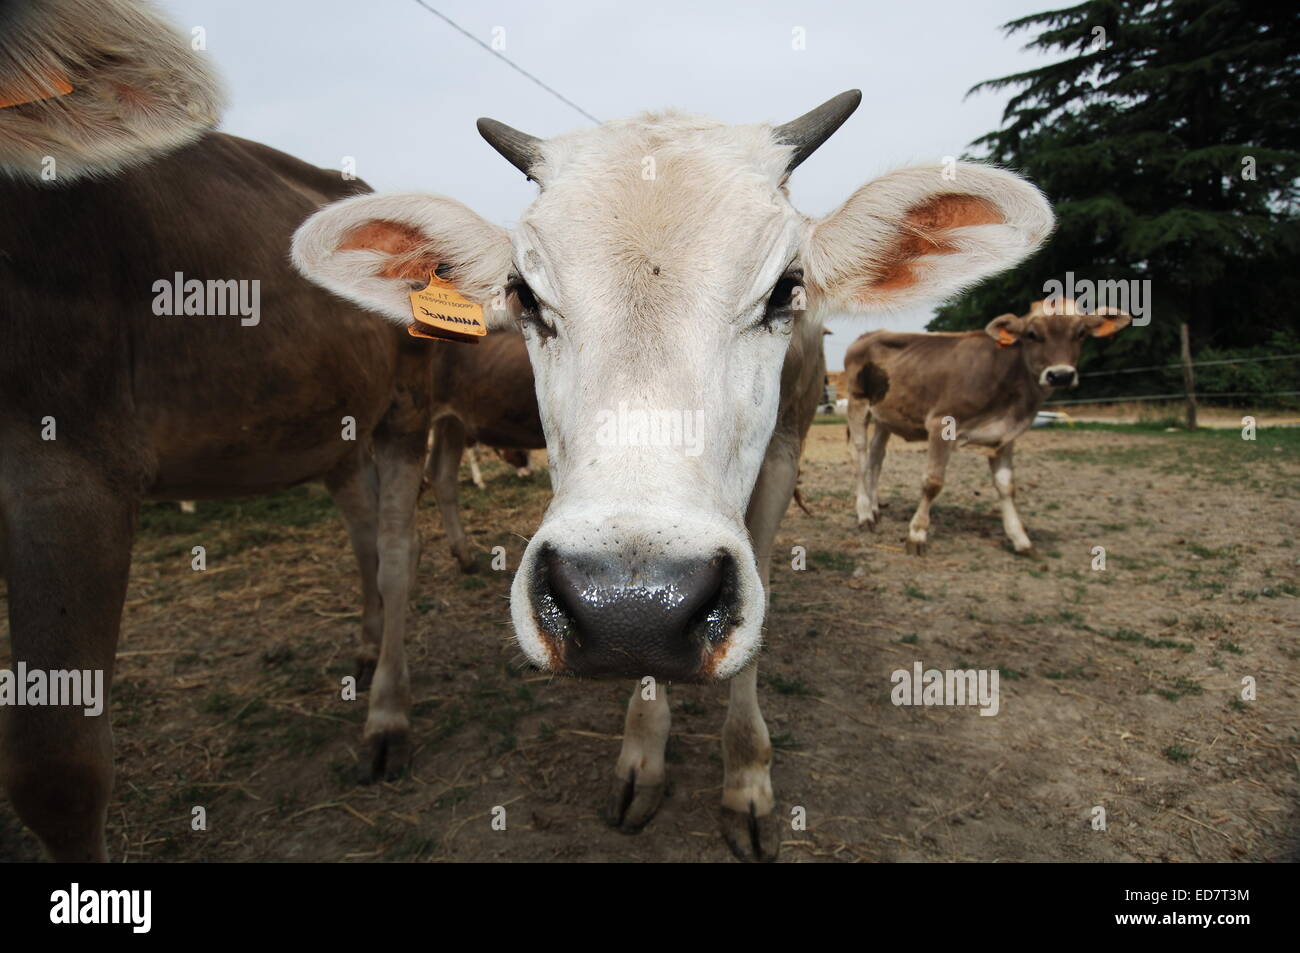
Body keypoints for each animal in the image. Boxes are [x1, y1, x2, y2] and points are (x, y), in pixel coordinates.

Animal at [0, 0, 431, 860]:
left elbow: (56, 769)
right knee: (364, 529)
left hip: (406, 404)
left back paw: (387, 717)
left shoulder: (65, 455)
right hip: (340, 421)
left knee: (399, 554)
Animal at [844, 298, 1132, 556]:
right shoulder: (941, 424)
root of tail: (871, 333)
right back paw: (864, 514)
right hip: (858, 402)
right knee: (860, 457)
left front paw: (1020, 539)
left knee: (876, 455)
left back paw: (875, 508)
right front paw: (916, 535)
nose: (1060, 375)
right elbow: (933, 483)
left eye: (1081, 333)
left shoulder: (1006, 435)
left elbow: (1007, 487)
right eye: (1032, 334)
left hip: (886, 416)